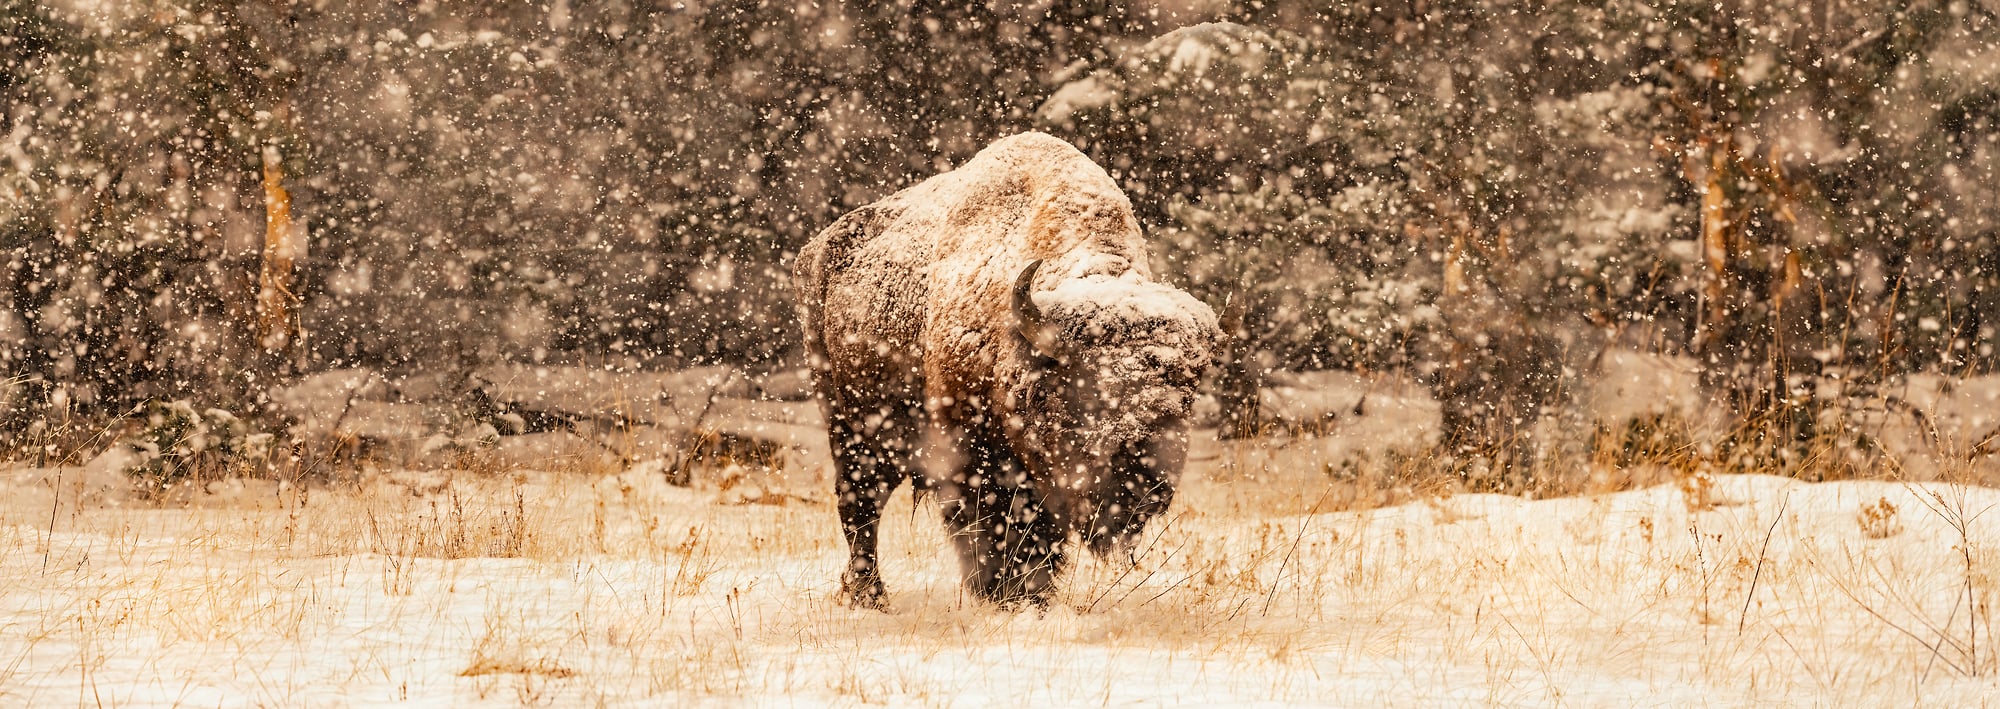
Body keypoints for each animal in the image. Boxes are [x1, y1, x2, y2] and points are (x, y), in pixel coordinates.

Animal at [793, 132, 1221, 609]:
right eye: (1088, 391)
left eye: (1186, 395)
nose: (1144, 480)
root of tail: (815, 251)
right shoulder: (975, 456)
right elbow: (997, 527)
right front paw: (1003, 594)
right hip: (851, 425)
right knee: (861, 505)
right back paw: (871, 597)